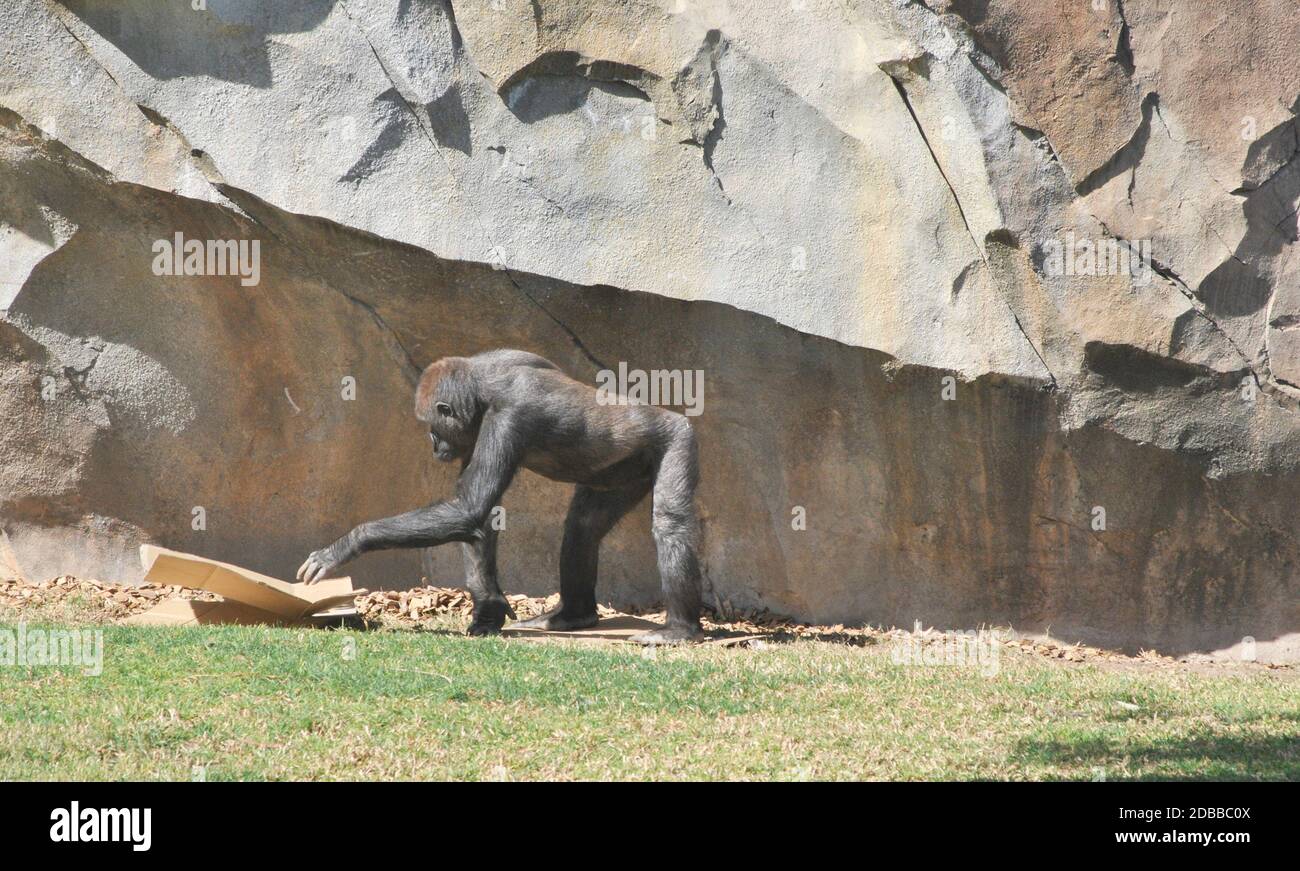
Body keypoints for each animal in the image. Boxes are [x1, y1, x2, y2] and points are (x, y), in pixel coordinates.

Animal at [297, 349, 705, 644]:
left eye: (433, 426)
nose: (433, 445)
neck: (482, 388)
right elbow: (479, 516)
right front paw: (489, 607)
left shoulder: (509, 418)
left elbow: (470, 507)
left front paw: (347, 544)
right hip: (623, 473)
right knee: (582, 528)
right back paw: (573, 614)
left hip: (676, 438)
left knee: (669, 524)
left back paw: (679, 629)